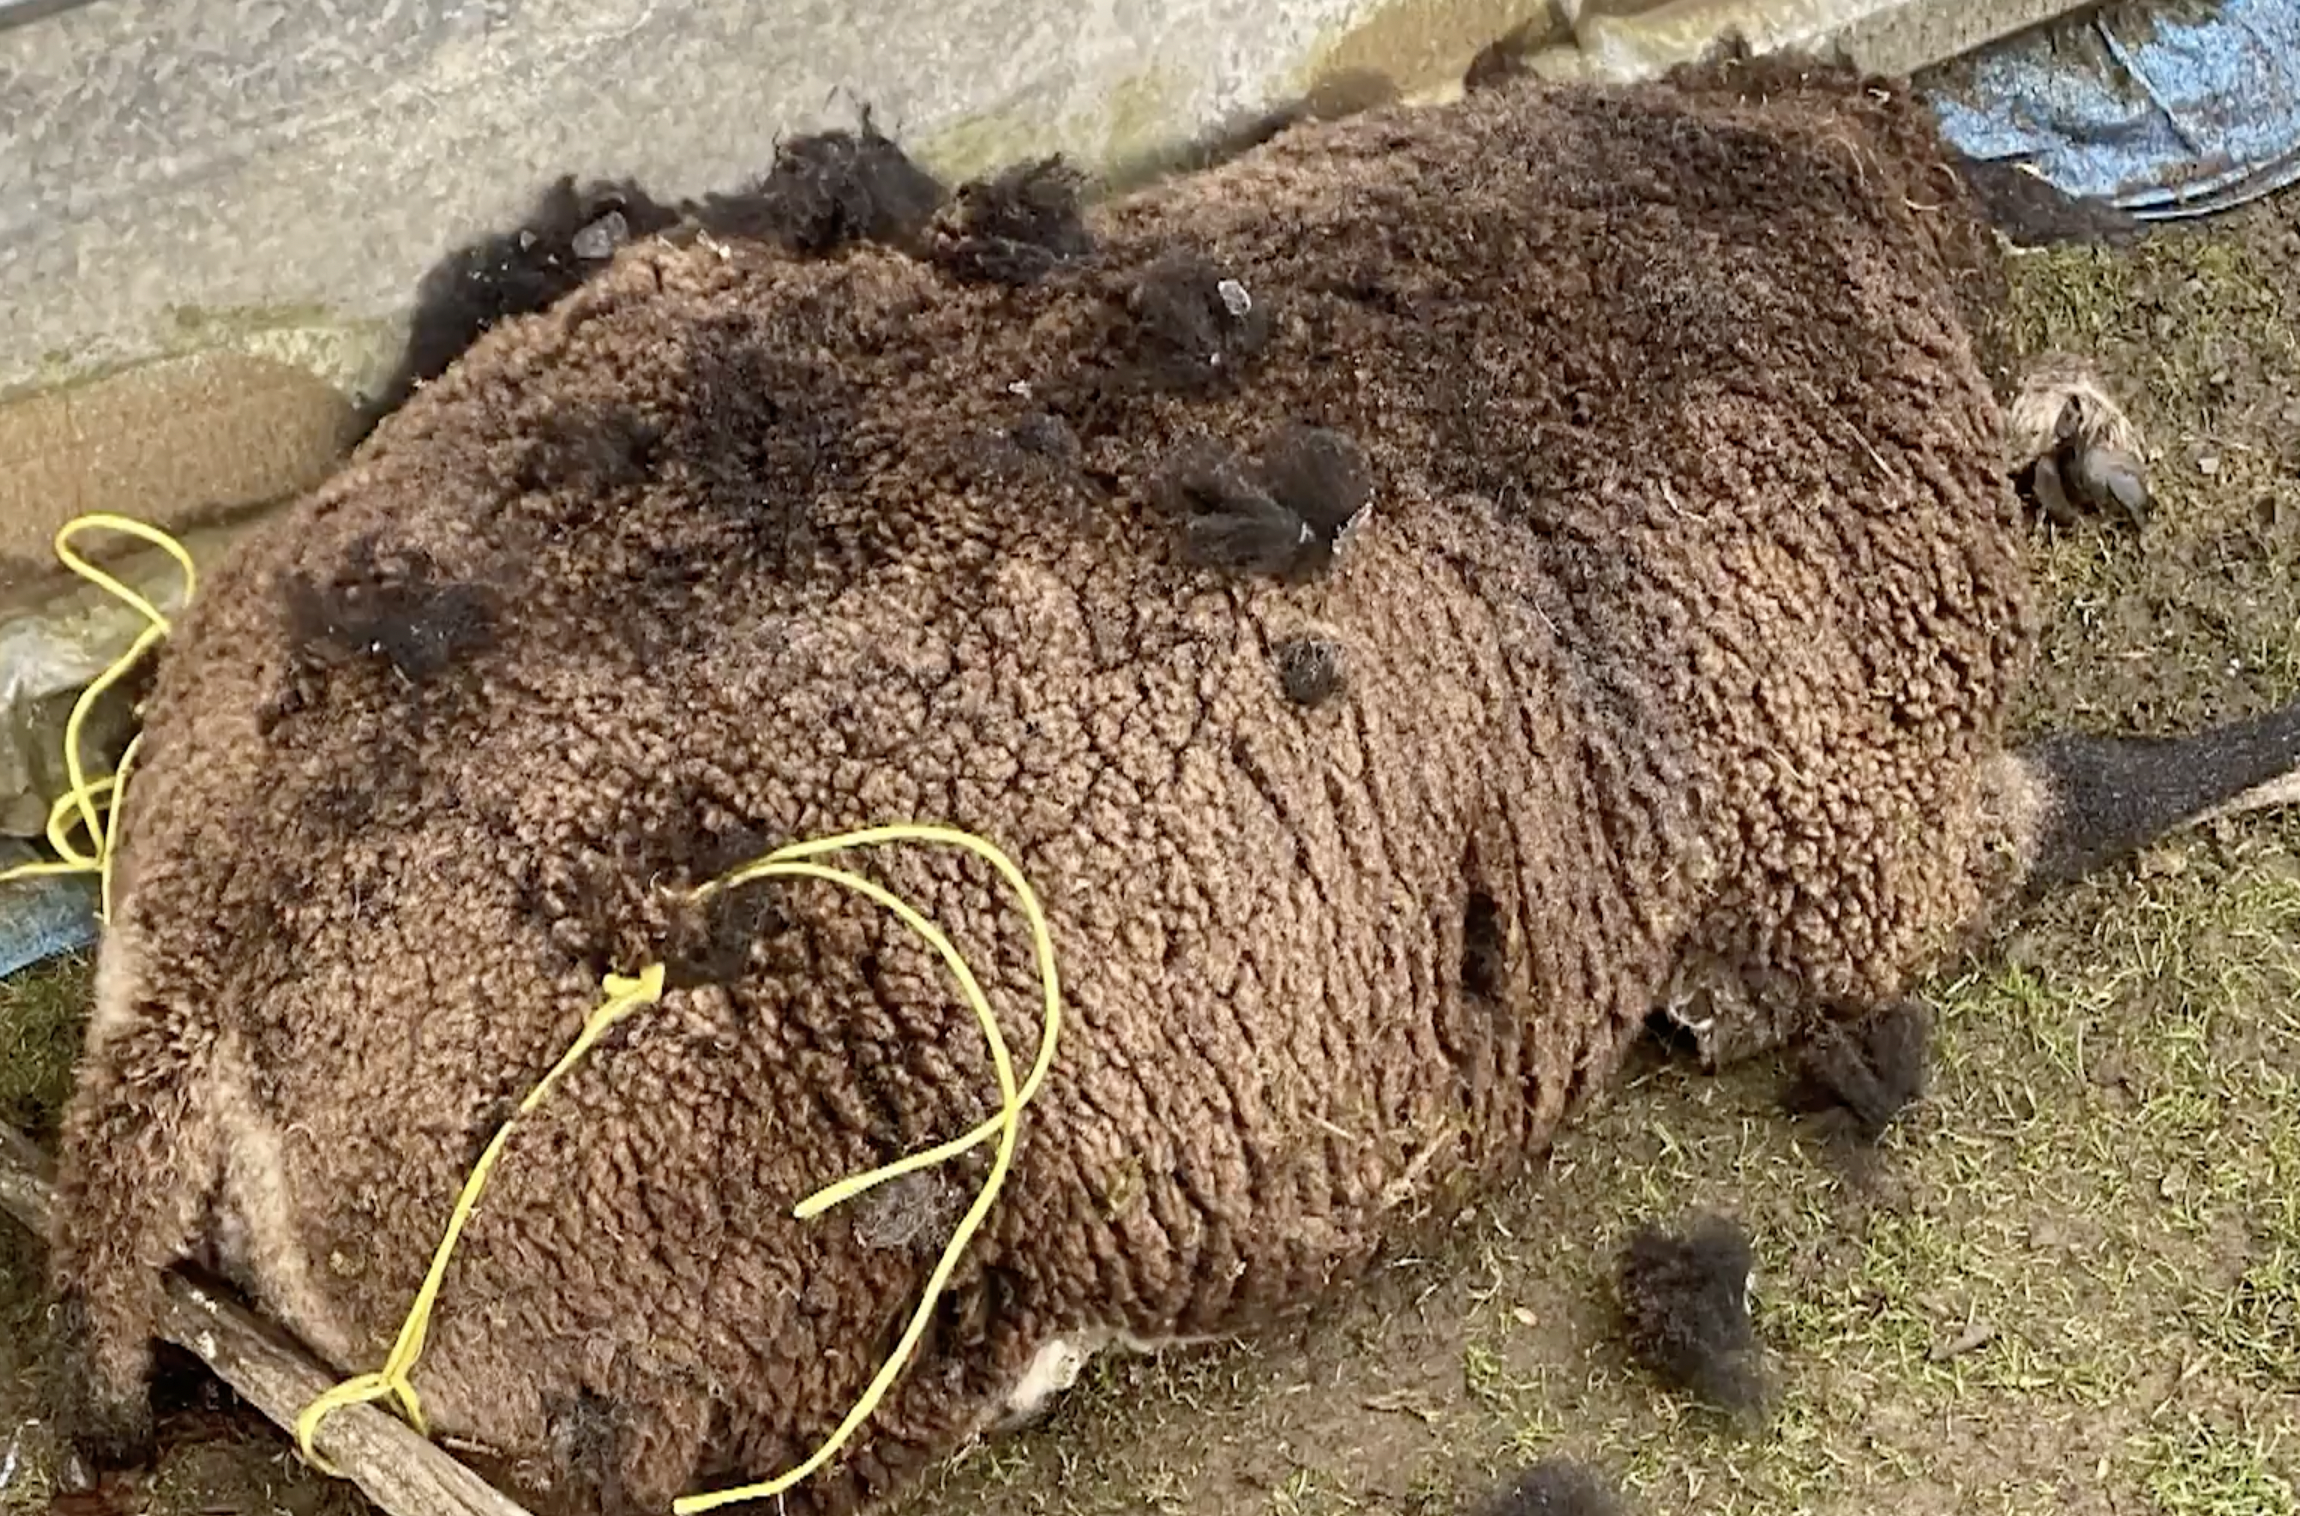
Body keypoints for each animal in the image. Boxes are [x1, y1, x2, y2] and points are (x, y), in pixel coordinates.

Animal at [39, 49, 2300, 1516]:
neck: (1739, 217)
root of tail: (191, 986)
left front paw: (2079, 432)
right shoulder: (1862, 841)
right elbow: (2140, 778)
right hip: (729, 1300)